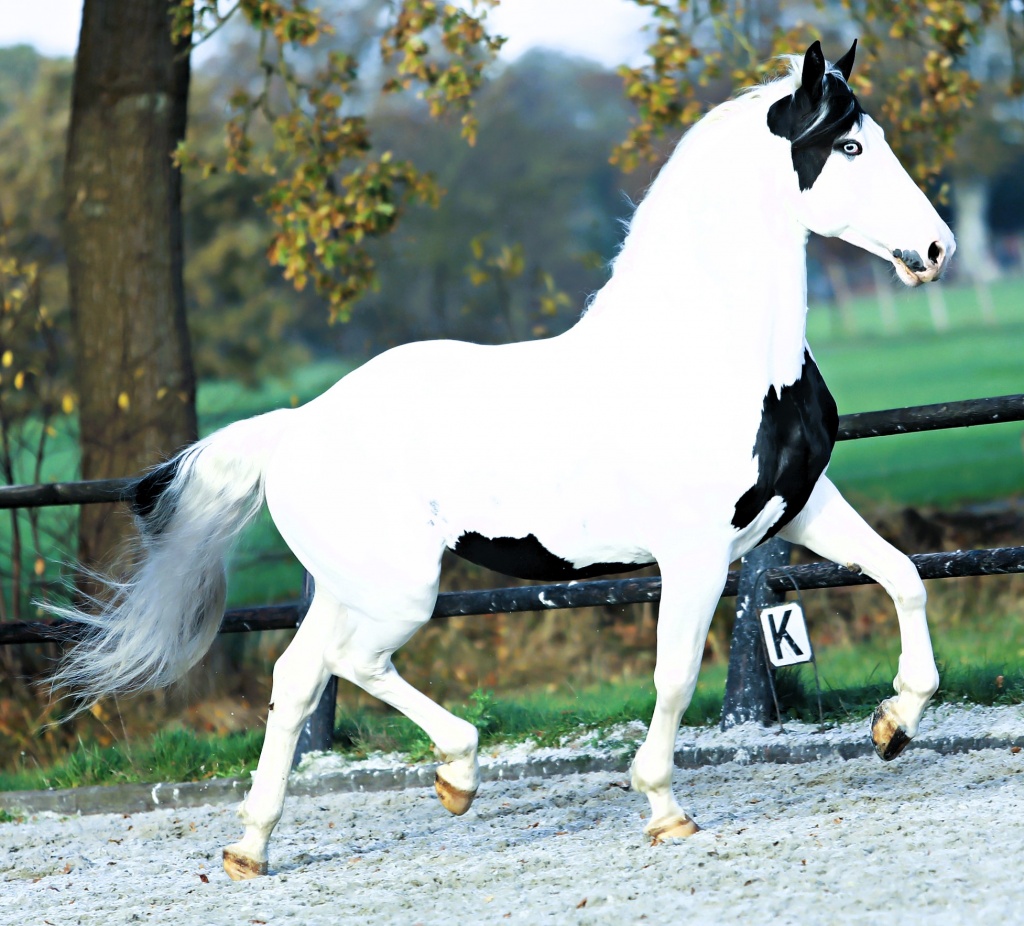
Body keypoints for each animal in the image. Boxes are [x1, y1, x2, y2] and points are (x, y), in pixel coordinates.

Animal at [52, 40, 953, 880]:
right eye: (848, 146)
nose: (937, 247)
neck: (717, 356)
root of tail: (297, 425)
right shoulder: (694, 555)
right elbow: (672, 679)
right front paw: (664, 809)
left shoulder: (801, 509)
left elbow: (904, 575)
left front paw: (893, 725)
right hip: (400, 592)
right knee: (351, 662)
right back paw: (456, 771)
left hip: (349, 587)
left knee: (298, 676)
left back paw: (251, 845)